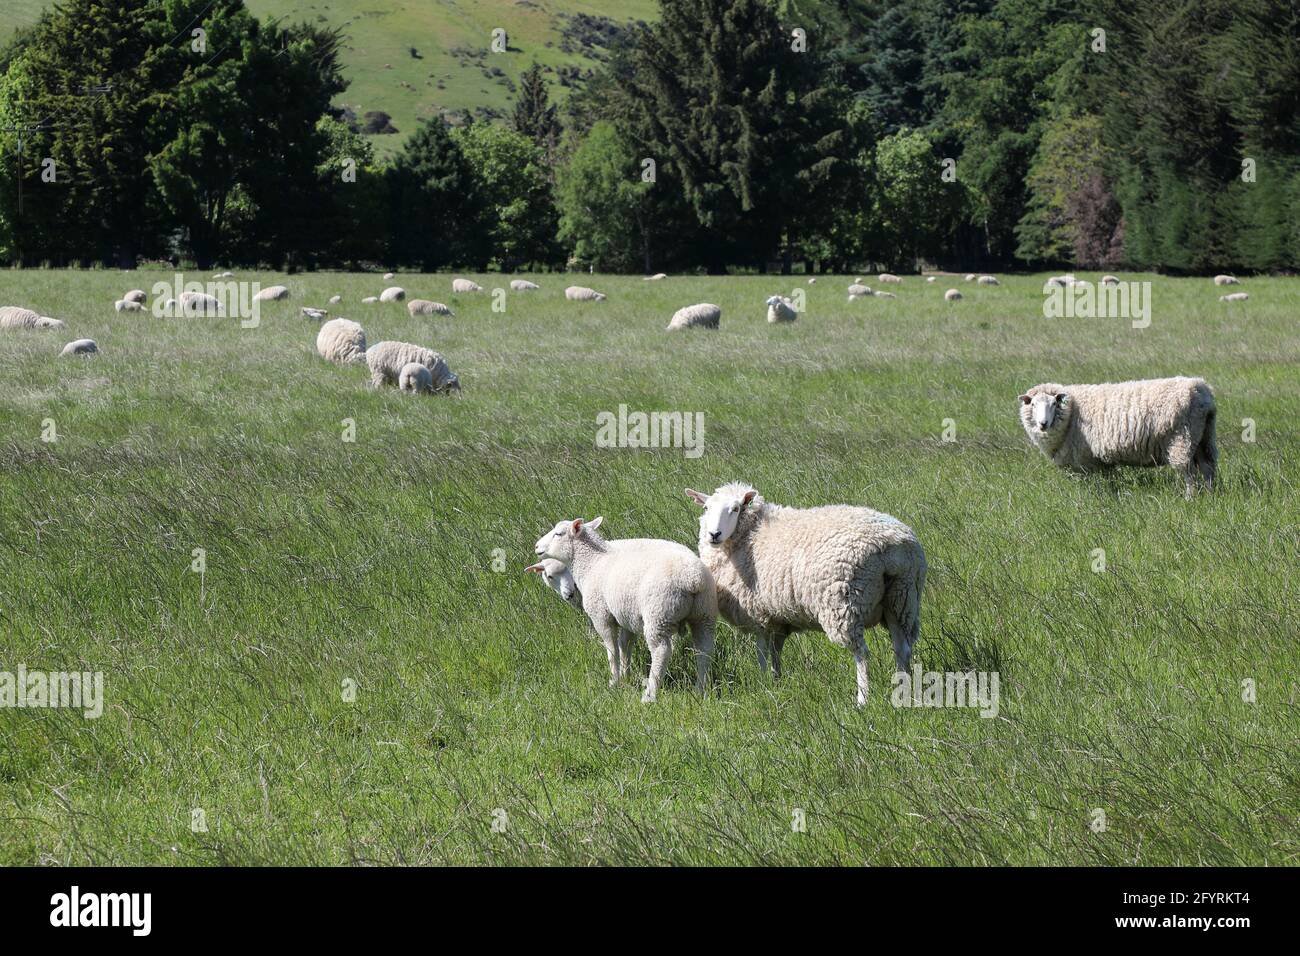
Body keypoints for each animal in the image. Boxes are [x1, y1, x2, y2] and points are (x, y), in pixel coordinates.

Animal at [534, 517, 717, 702]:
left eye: (558, 534)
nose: (536, 546)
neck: (592, 562)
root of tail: (693, 579)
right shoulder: (627, 616)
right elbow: (625, 645)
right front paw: (625, 675)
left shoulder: (602, 617)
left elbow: (612, 649)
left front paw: (614, 681)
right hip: (704, 614)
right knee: (704, 651)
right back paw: (700, 690)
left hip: (659, 615)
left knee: (661, 651)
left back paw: (650, 695)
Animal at [685, 483, 927, 706]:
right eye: (706, 508)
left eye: (735, 509)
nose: (714, 534)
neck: (750, 533)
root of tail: (890, 544)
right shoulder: (778, 616)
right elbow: (776, 649)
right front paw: (777, 680)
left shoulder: (757, 612)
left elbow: (761, 650)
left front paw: (763, 682)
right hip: (903, 598)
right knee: (902, 649)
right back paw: (904, 692)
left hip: (845, 604)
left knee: (862, 653)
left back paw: (862, 699)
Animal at [1017, 377, 1217, 498]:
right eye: (1033, 404)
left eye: (1053, 404)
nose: (1043, 424)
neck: (1071, 413)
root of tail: (1201, 389)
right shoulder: (1101, 462)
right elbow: (1110, 482)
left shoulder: (1086, 460)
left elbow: (1094, 486)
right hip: (1203, 436)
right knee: (1208, 466)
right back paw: (1211, 494)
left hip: (1181, 439)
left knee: (1189, 472)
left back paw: (1190, 498)